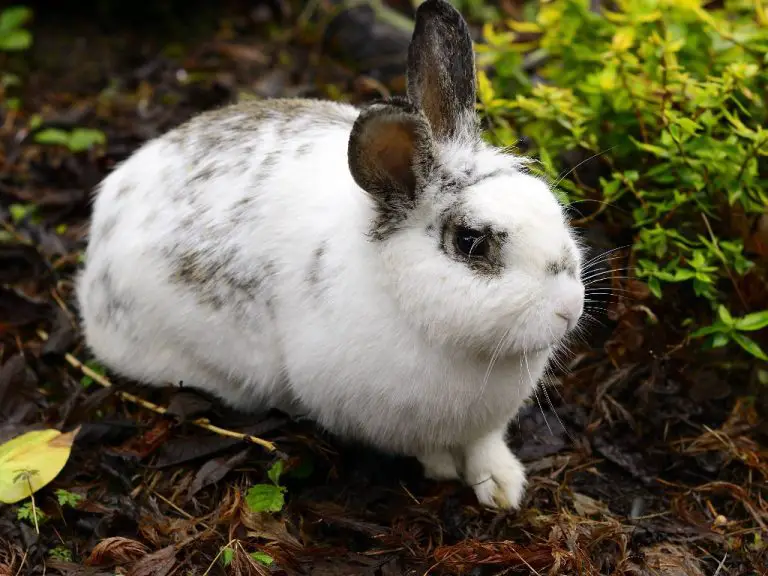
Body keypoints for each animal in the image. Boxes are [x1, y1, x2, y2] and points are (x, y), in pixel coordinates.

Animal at [75, 0, 586, 510]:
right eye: (470, 242)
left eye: (546, 201)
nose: (569, 309)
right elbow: (430, 450)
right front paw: (444, 471)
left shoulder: (485, 424)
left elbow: (484, 446)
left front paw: (503, 487)